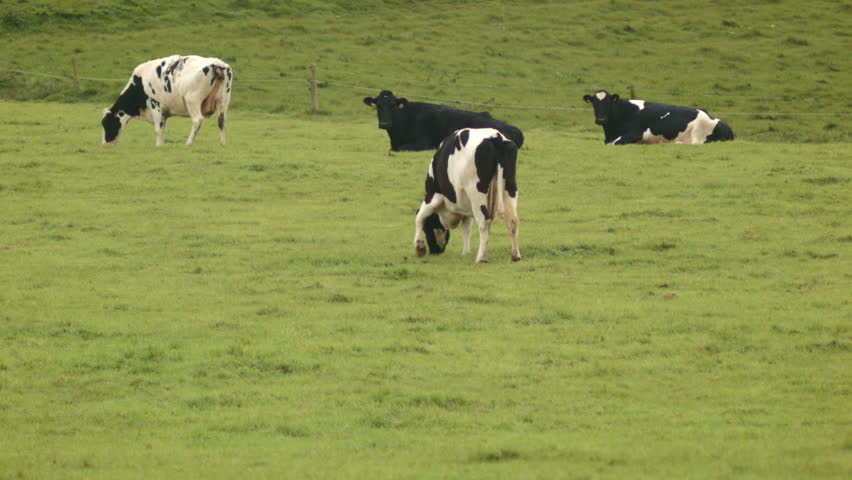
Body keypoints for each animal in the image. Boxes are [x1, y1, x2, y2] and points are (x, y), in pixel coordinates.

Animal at [101, 55, 233, 146]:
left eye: (107, 123)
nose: (105, 143)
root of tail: (216, 63)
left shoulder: (155, 104)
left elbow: (158, 129)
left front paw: (158, 146)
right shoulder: (163, 112)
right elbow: (162, 127)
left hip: (192, 100)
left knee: (197, 120)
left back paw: (189, 143)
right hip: (223, 100)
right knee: (221, 121)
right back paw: (222, 143)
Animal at [414, 128, 520, 263]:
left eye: (428, 230)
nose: (435, 251)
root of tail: (495, 136)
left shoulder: (433, 196)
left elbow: (419, 217)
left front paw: (419, 247)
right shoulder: (465, 206)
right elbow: (466, 228)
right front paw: (465, 253)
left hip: (476, 192)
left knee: (484, 222)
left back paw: (481, 258)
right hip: (510, 187)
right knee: (512, 220)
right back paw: (515, 255)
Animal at [582, 90, 734, 145]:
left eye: (608, 103)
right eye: (594, 103)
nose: (601, 120)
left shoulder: (637, 133)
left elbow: (615, 143)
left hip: (698, 133)